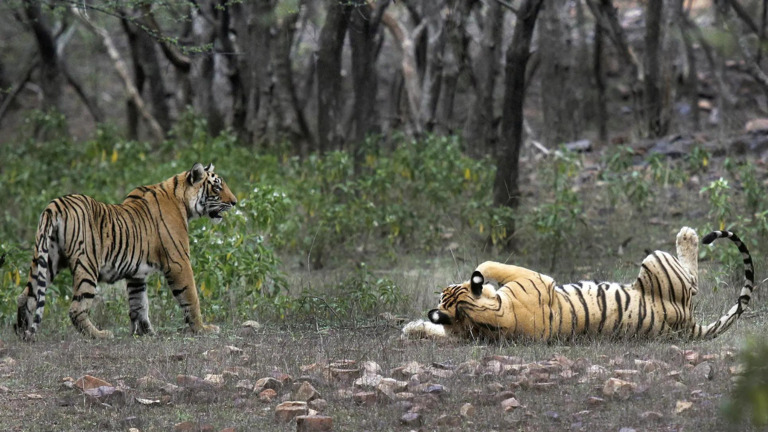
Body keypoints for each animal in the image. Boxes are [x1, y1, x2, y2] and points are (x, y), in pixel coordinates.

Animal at [14, 163, 236, 340]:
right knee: (76, 308)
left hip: (48, 259)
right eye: (218, 186)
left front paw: (146, 333)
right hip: (86, 264)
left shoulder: (136, 273)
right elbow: (191, 297)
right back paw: (100, 334)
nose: (234, 202)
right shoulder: (178, 262)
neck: (182, 200)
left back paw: (22, 332)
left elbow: (139, 304)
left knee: (26, 296)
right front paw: (202, 329)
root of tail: (55, 205)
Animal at [403, 227, 754, 341]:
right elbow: (490, 265)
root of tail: (688, 324)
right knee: (693, 279)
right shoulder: (534, 277)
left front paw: (412, 328)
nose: (444, 287)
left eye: (445, 292)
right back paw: (688, 235)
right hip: (656, 260)